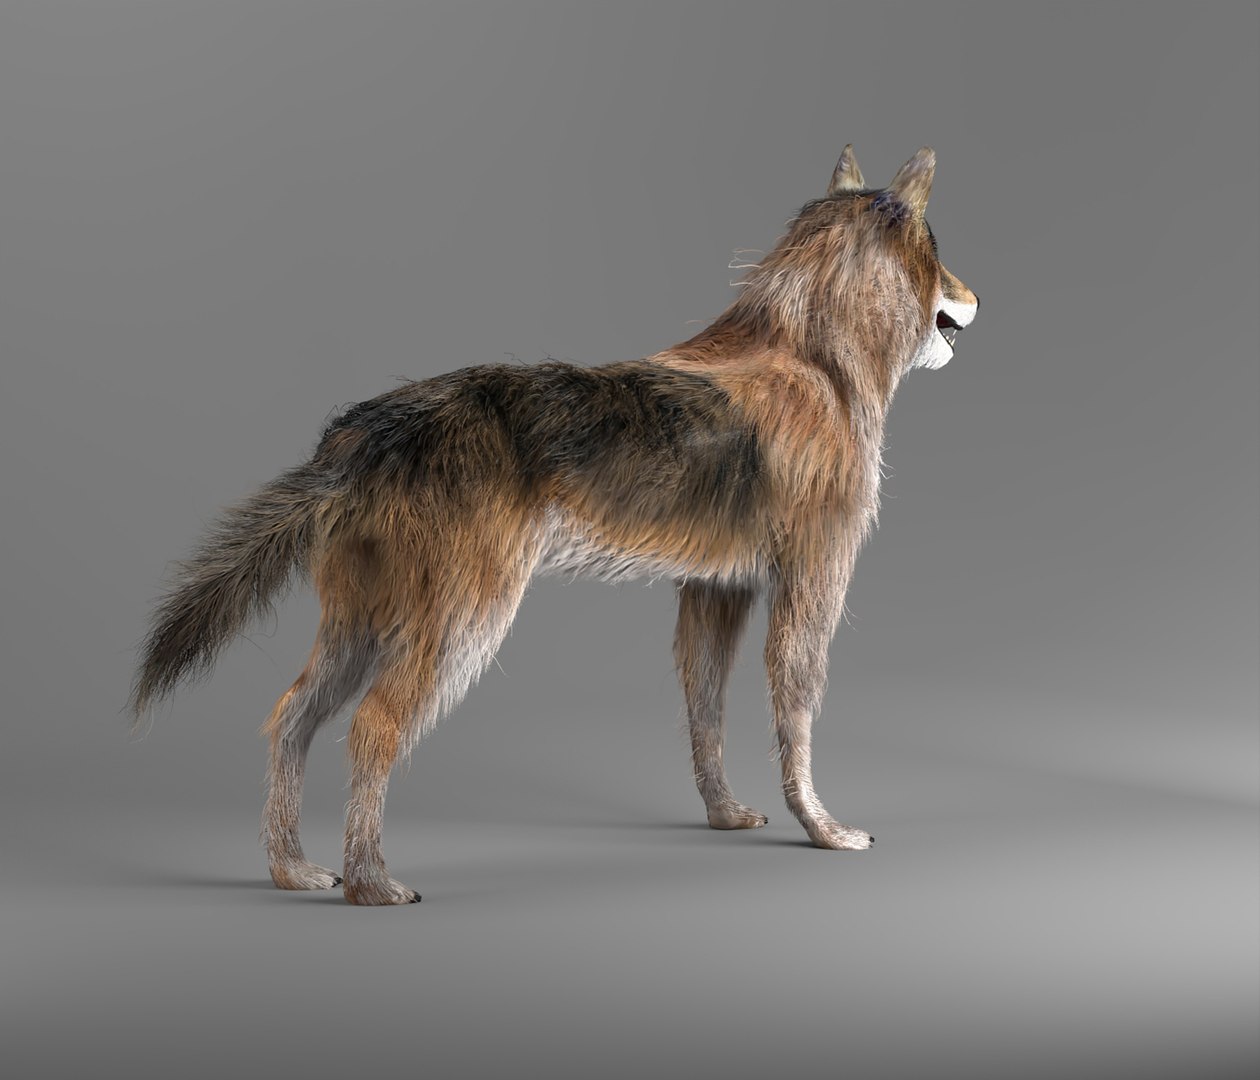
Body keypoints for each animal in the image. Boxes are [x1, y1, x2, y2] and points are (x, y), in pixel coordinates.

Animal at [131, 146, 978, 904]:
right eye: (938, 252)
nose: (975, 300)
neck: (812, 355)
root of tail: (370, 428)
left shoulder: (715, 592)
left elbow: (705, 714)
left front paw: (725, 816)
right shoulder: (811, 584)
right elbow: (794, 717)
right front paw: (825, 830)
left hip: (363, 627)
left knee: (290, 720)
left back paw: (292, 870)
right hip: (458, 627)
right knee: (371, 729)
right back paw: (370, 884)